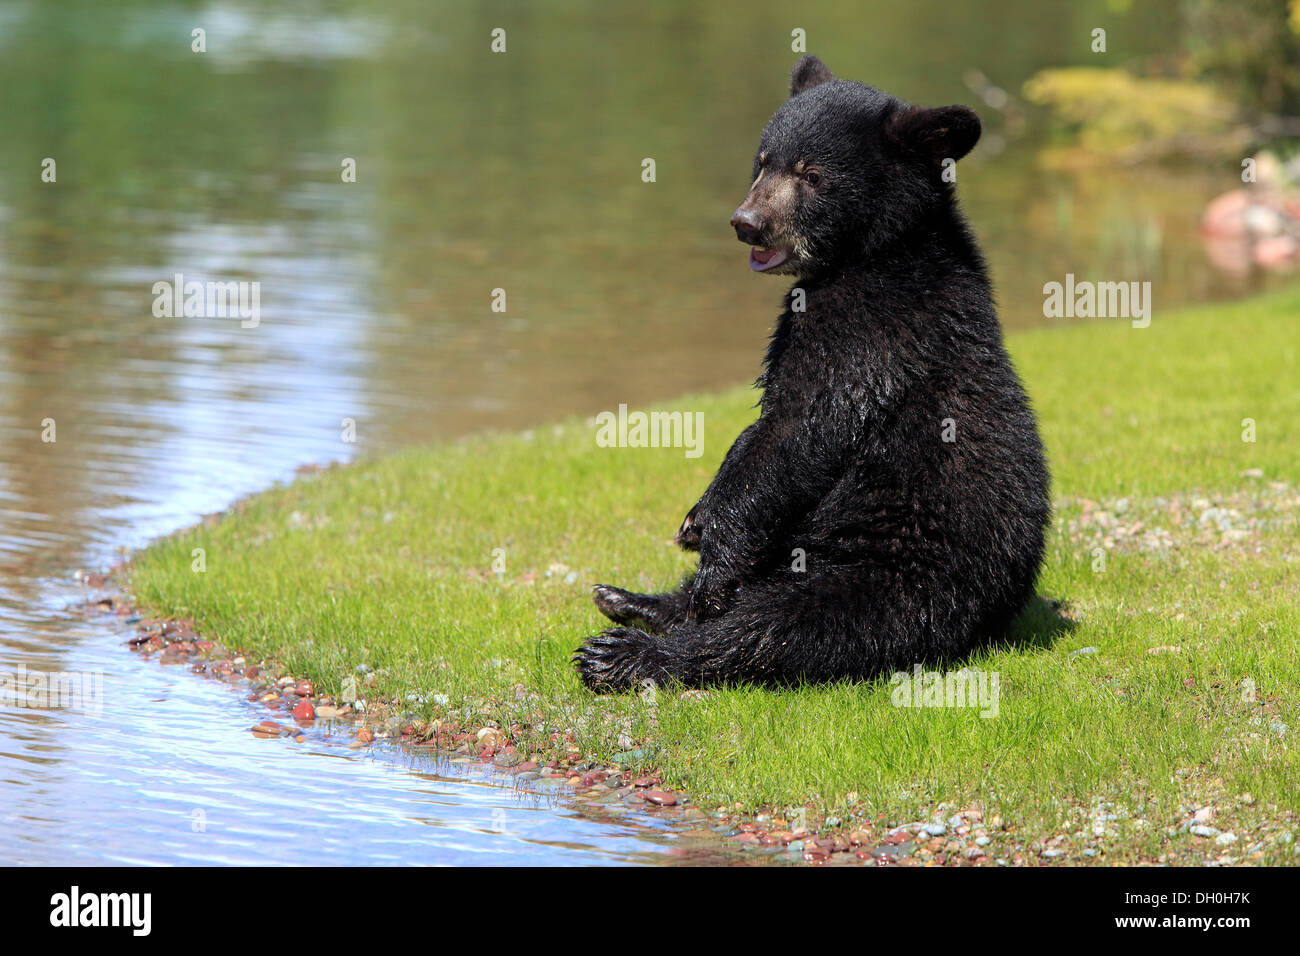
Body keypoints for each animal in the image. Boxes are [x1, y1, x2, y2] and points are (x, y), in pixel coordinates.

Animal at [574, 55, 1051, 691]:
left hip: (894, 578)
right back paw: (634, 600)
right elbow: (761, 426)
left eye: (813, 174)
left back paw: (630, 653)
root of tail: (1000, 614)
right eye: (762, 160)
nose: (746, 222)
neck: (874, 253)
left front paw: (713, 551)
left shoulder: (870, 329)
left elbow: (800, 431)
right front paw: (695, 521)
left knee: (779, 626)